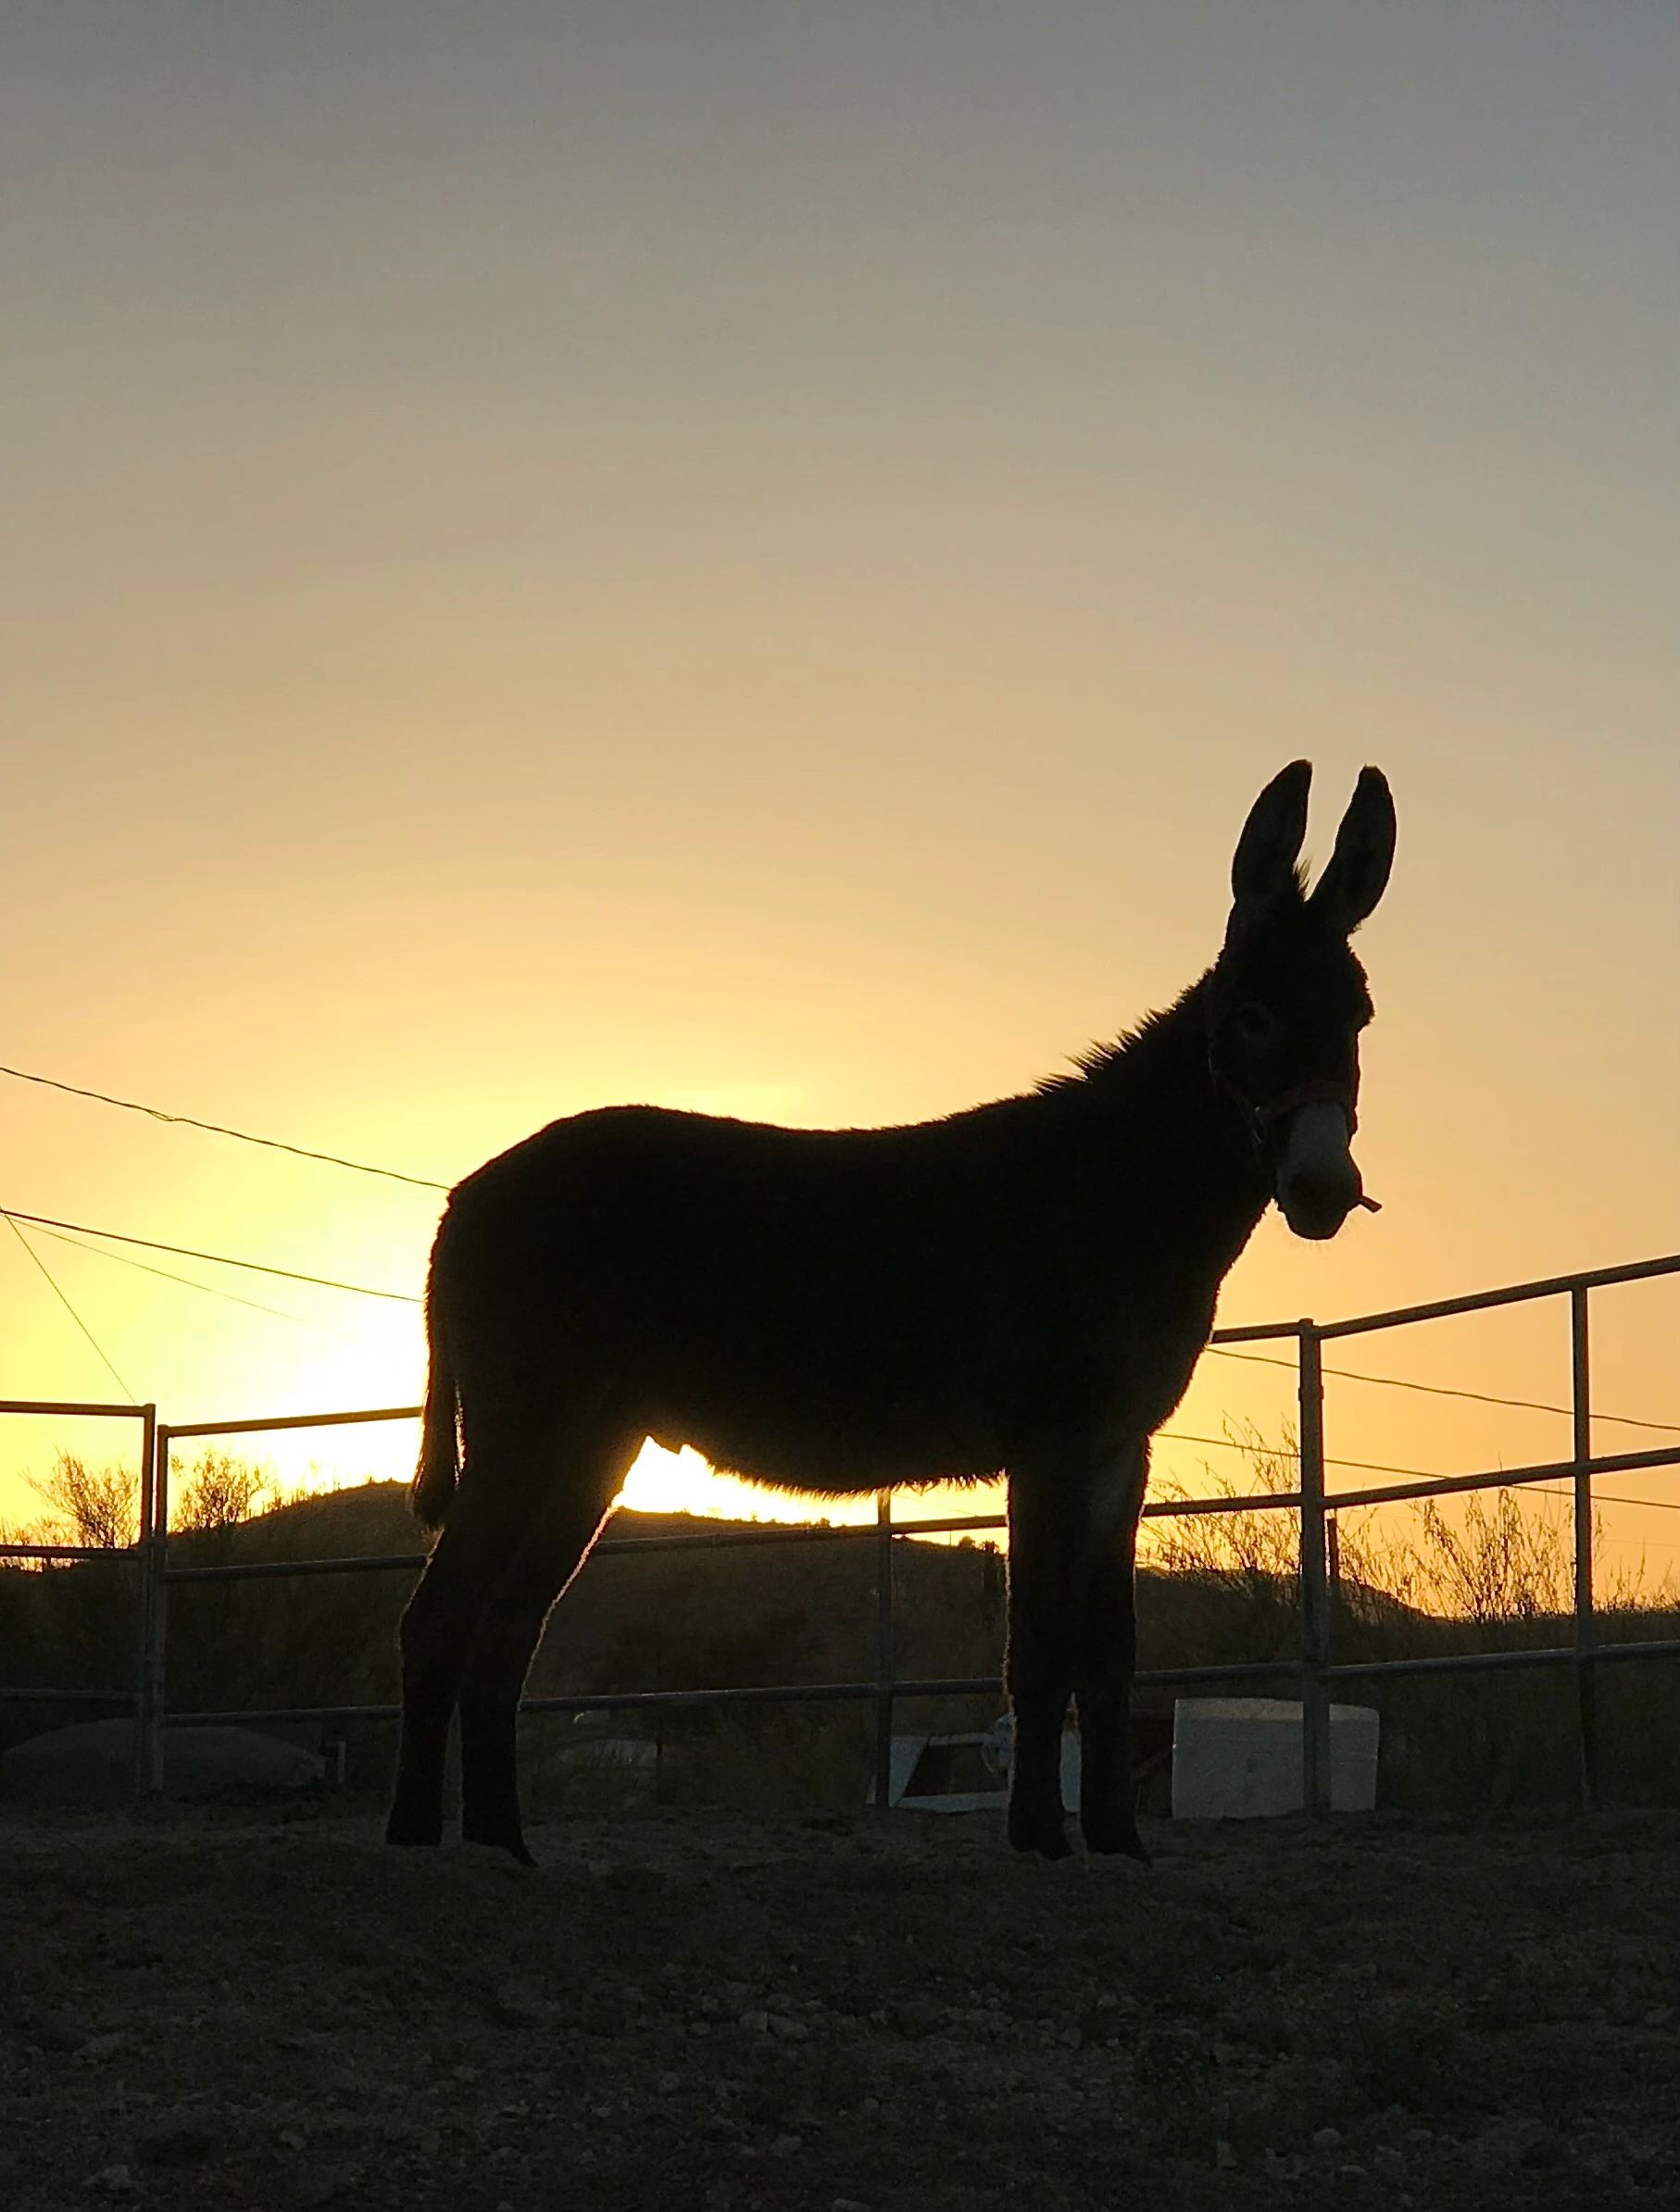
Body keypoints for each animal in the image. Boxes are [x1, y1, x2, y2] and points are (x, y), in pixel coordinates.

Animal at [386, 759, 1395, 1864]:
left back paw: (503, 1846)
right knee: (439, 1618)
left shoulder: (1116, 1448)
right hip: (529, 1421)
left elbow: (1110, 1652)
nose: (1323, 1189)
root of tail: (464, 1194)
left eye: (1358, 1019)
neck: (1115, 1190)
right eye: (1251, 1016)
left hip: (592, 1440)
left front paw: (1118, 1843)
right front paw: (1038, 1837)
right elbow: (1039, 1649)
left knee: (505, 1625)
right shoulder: (1049, 1439)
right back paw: (416, 1839)